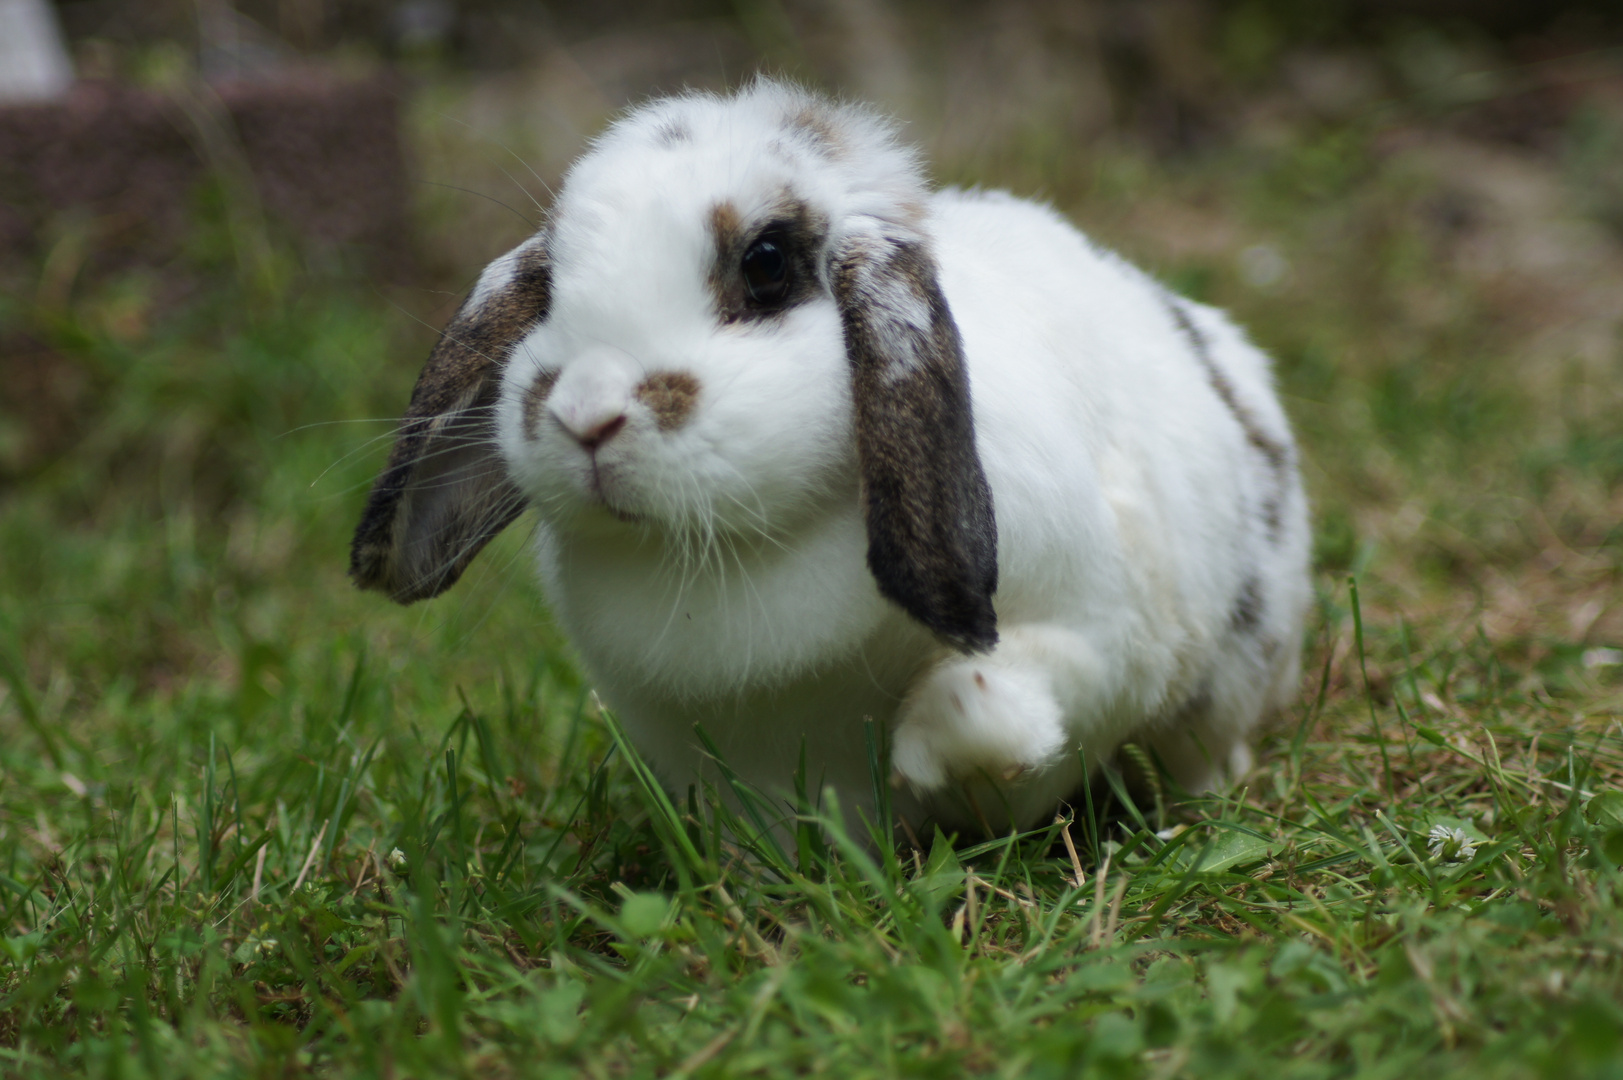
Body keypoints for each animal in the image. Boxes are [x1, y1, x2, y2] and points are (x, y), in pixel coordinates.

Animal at [349, 79, 1312, 838]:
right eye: (548, 282)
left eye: (766, 263)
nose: (586, 415)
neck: (739, 555)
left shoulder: (1106, 638)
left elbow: (1002, 702)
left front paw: (939, 733)